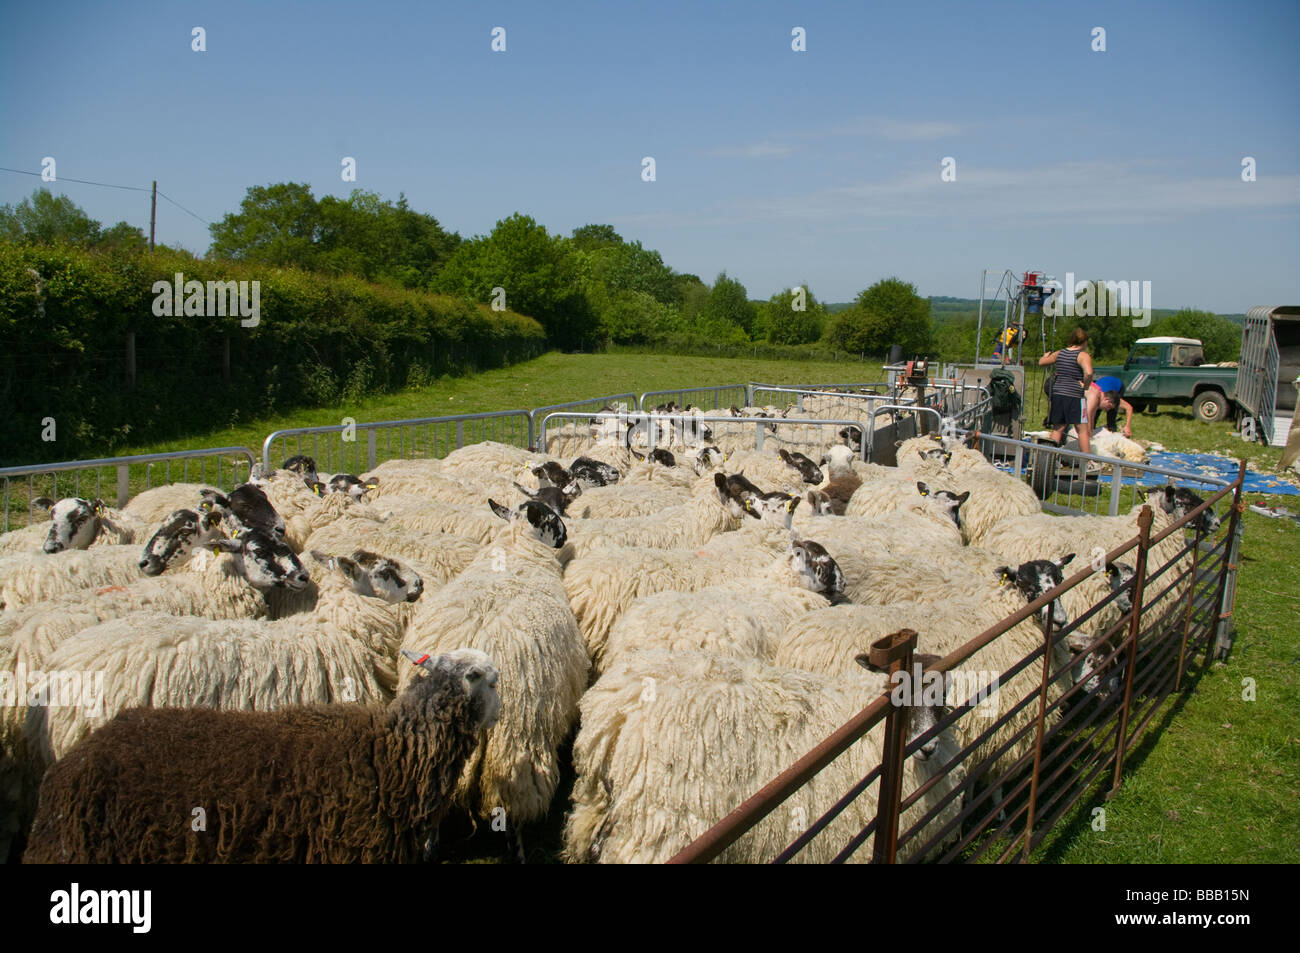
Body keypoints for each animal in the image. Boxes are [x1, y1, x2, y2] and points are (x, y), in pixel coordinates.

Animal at [564, 650, 964, 864]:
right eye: (900, 691)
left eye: (943, 694)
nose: (927, 746)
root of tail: (618, 713)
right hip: (657, 830)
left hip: (595, 808)